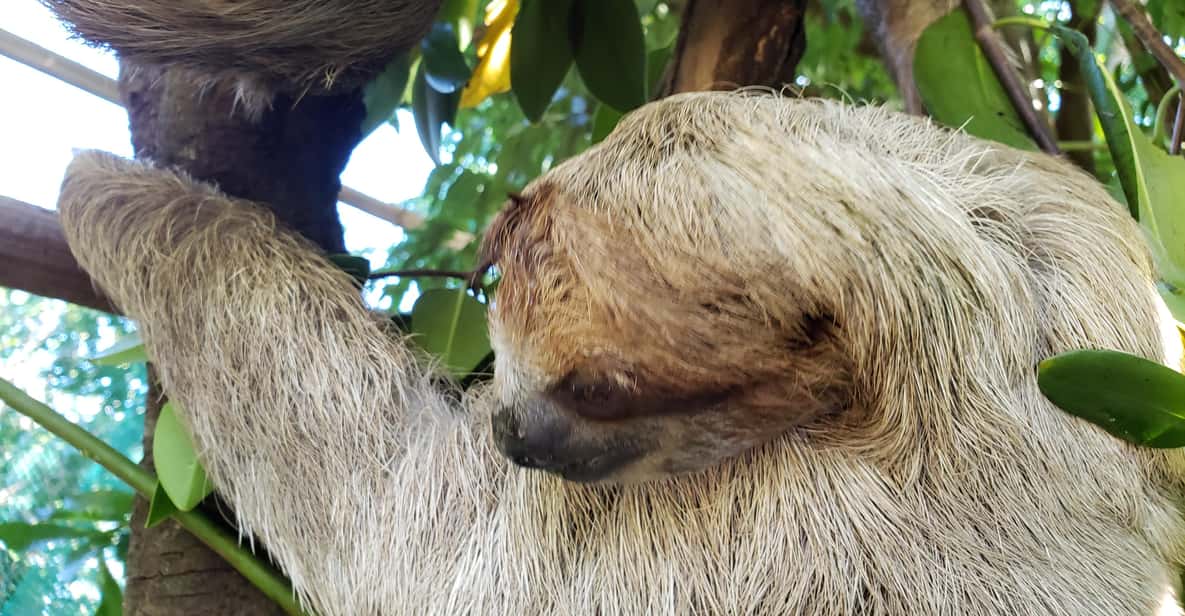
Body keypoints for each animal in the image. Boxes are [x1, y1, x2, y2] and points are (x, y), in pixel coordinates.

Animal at [58, 91, 1185, 614]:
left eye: (600, 390)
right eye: (495, 329)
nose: (516, 431)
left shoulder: (757, 533)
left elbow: (382, 505)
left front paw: (108, 185)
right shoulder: (1087, 272)